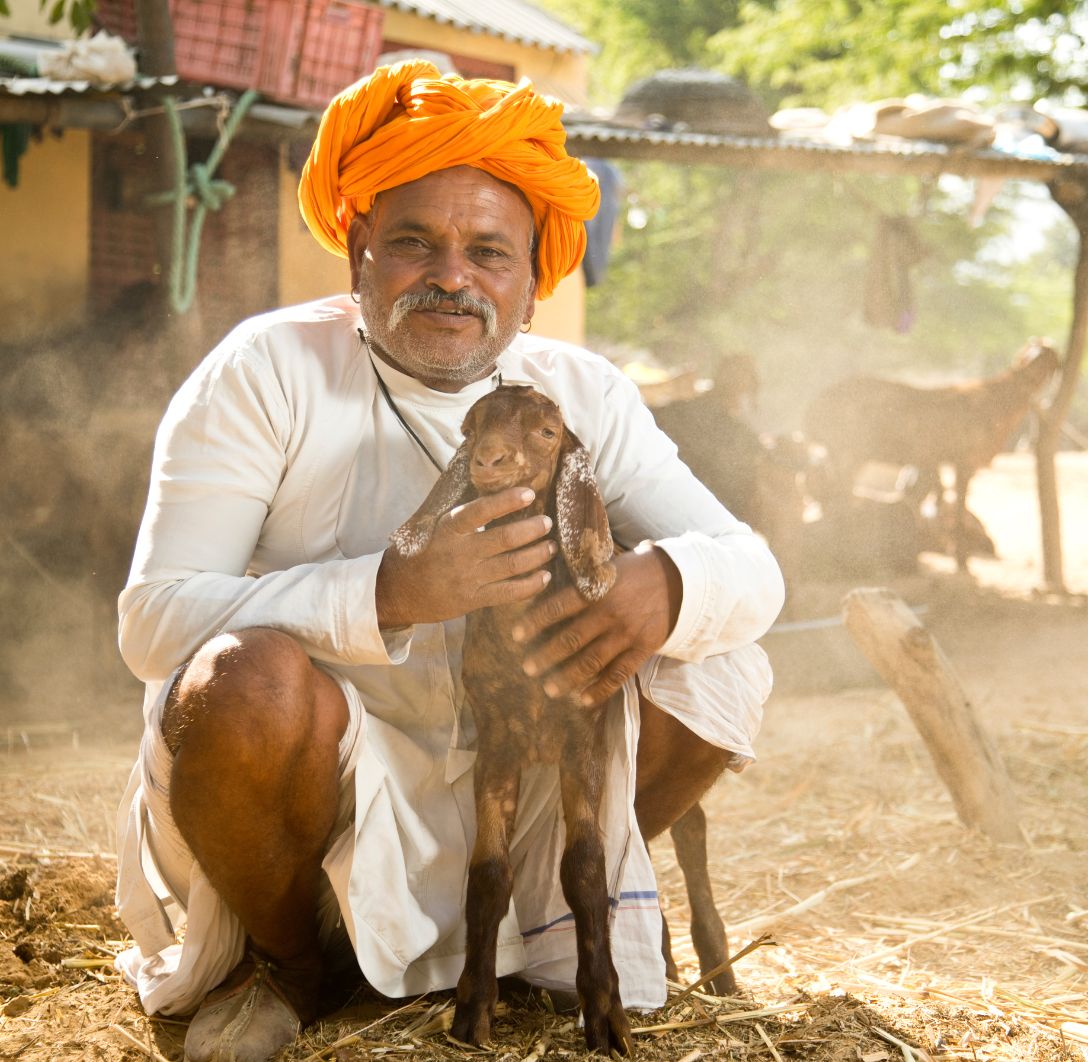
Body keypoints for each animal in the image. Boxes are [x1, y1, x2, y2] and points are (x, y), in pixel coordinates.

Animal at [390, 385, 633, 1055]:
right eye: (469, 429)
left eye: (548, 432)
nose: (490, 461)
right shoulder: (497, 740)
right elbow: (488, 874)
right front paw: (473, 1010)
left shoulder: (582, 735)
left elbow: (584, 868)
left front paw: (605, 1013)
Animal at [803, 338, 1059, 568]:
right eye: (1037, 354)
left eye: (1048, 356)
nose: (1031, 368)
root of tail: (813, 409)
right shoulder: (962, 461)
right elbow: (957, 507)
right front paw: (961, 560)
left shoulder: (935, 461)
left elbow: (942, 499)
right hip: (849, 452)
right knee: (838, 495)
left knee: (836, 495)